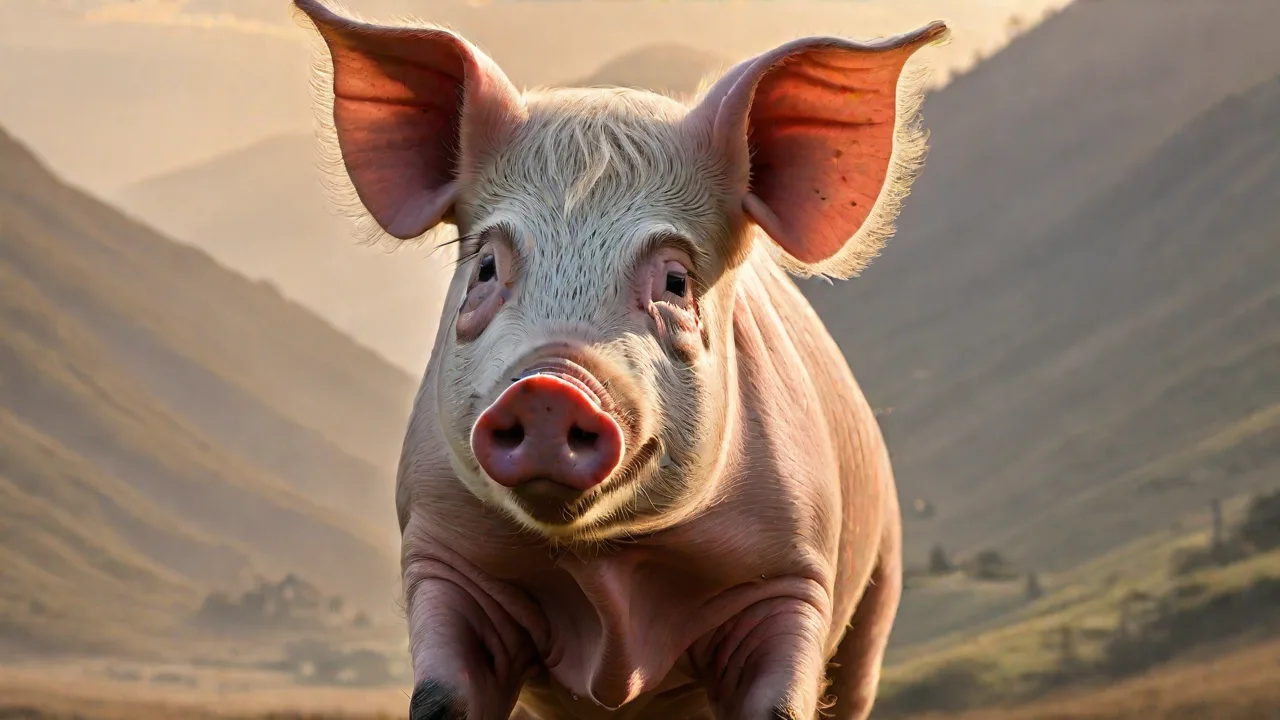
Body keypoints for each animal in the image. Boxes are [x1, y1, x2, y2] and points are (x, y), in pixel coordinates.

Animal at [292, 1, 947, 718]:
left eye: (677, 281)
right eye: (486, 266)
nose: (550, 387)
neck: (605, 573)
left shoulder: (792, 572)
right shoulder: (442, 553)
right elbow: (441, 696)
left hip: (878, 591)